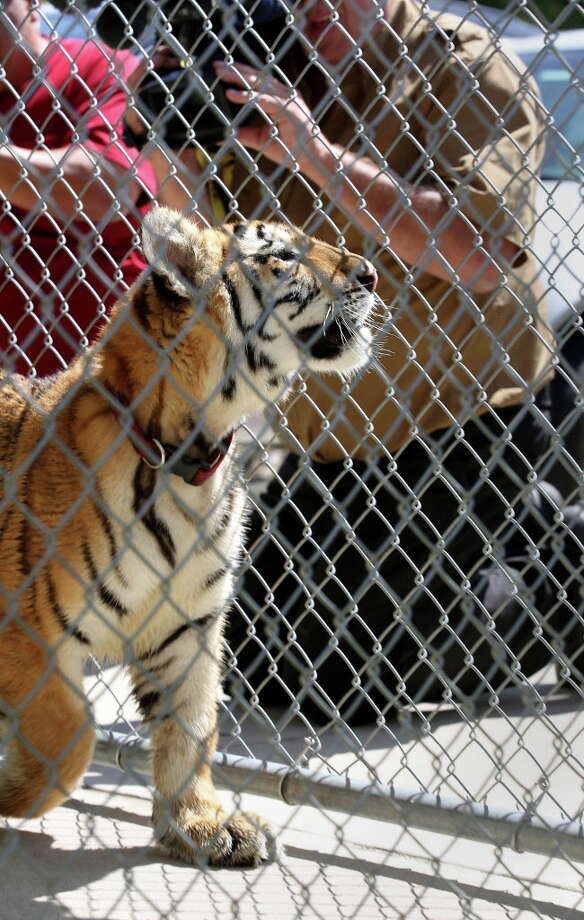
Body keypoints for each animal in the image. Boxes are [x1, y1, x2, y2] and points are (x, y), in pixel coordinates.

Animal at [0, 206, 377, 868]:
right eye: (282, 255)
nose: (374, 274)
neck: (192, 453)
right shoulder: (26, 632)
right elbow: (72, 735)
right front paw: (12, 794)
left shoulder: (185, 625)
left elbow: (191, 730)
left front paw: (201, 827)